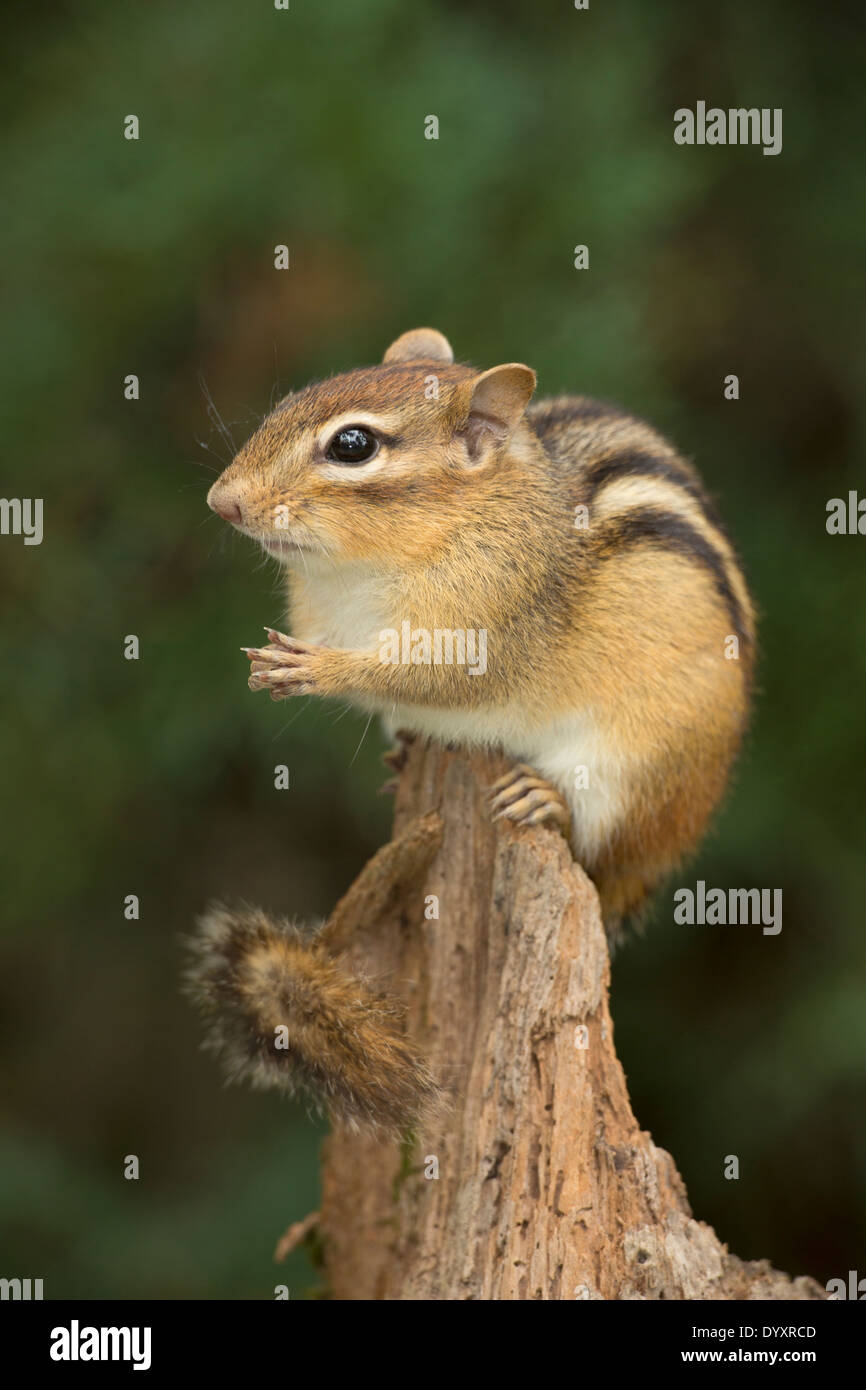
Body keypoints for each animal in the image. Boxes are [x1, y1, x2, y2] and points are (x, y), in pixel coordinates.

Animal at [187, 326, 755, 1134]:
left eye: (353, 445)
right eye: (289, 401)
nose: (222, 501)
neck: (362, 571)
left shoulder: (489, 625)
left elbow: (427, 678)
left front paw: (319, 669)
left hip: (640, 765)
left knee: (599, 835)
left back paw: (545, 798)